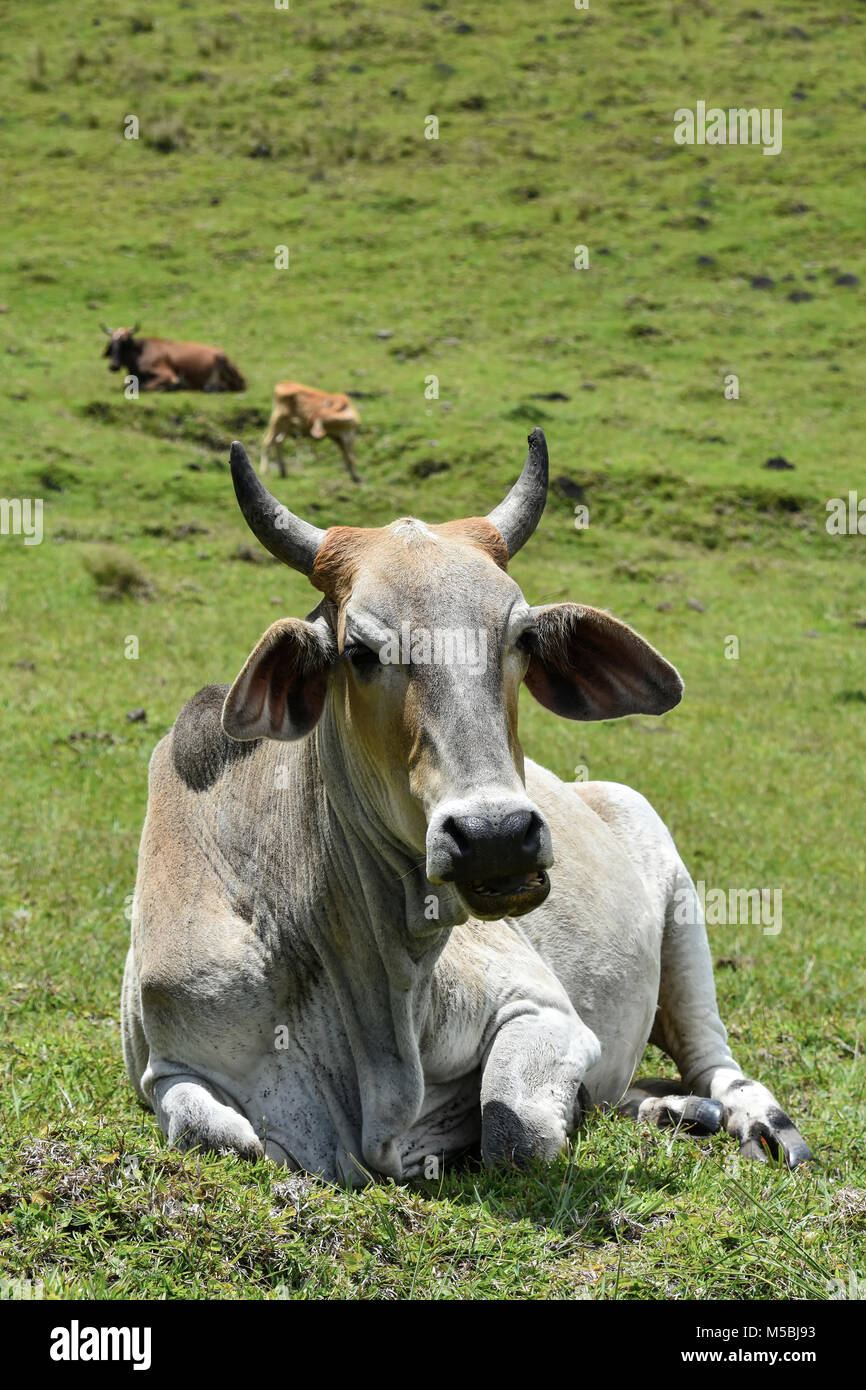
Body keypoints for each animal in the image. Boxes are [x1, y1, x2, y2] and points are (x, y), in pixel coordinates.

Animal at [121, 429, 811, 1185]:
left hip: (679, 907)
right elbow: (223, 1136)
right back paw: (669, 1110)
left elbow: (517, 1133)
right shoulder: (169, 1068)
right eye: (359, 650)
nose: (496, 837)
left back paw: (754, 1120)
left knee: (713, 1058)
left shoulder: (541, 1009)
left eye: (523, 638)